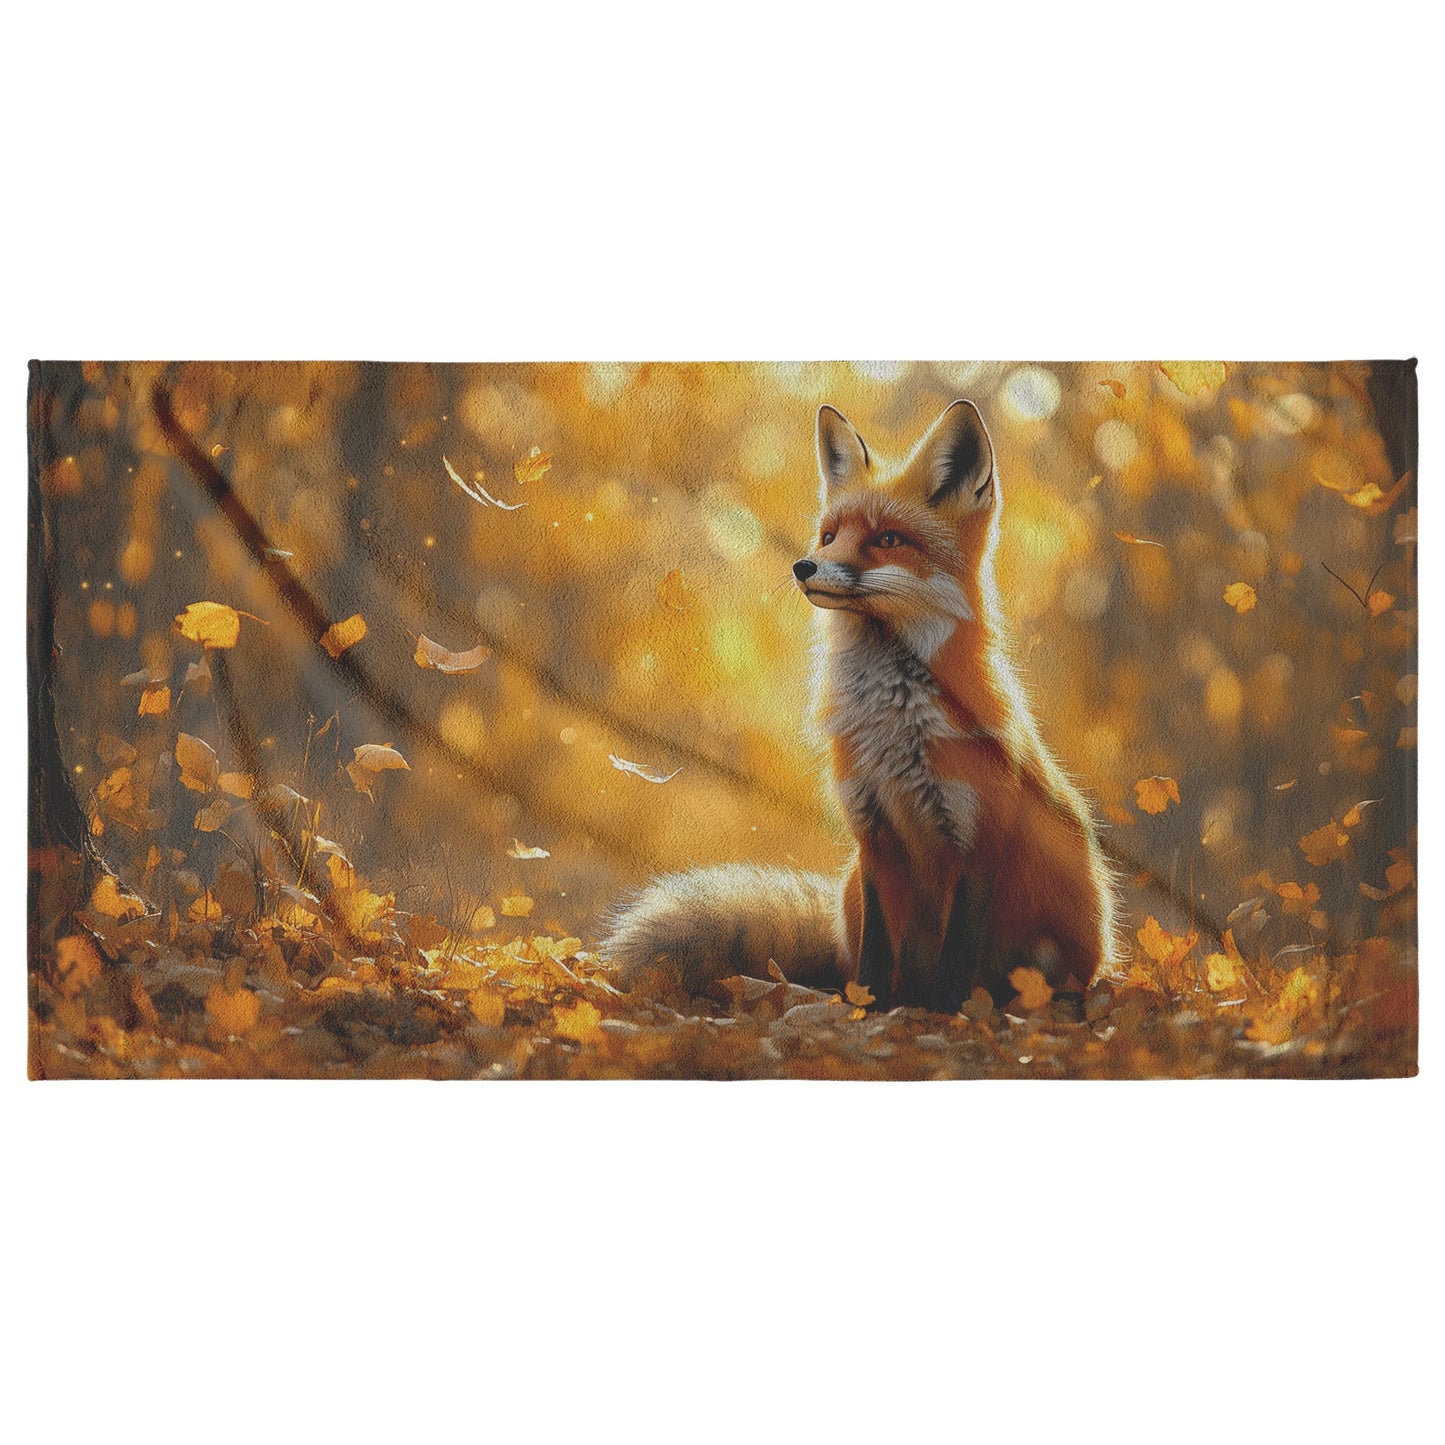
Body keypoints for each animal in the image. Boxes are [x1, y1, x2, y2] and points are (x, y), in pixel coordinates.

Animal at [602, 398, 1116, 1012]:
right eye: (829, 536)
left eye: (888, 540)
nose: (803, 566)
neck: (894, 731)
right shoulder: (871, 836)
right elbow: (874, 954)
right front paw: (865, 1009)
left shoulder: (978, 844)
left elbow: (957, 959)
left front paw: (948, 1014)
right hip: (849, 887)